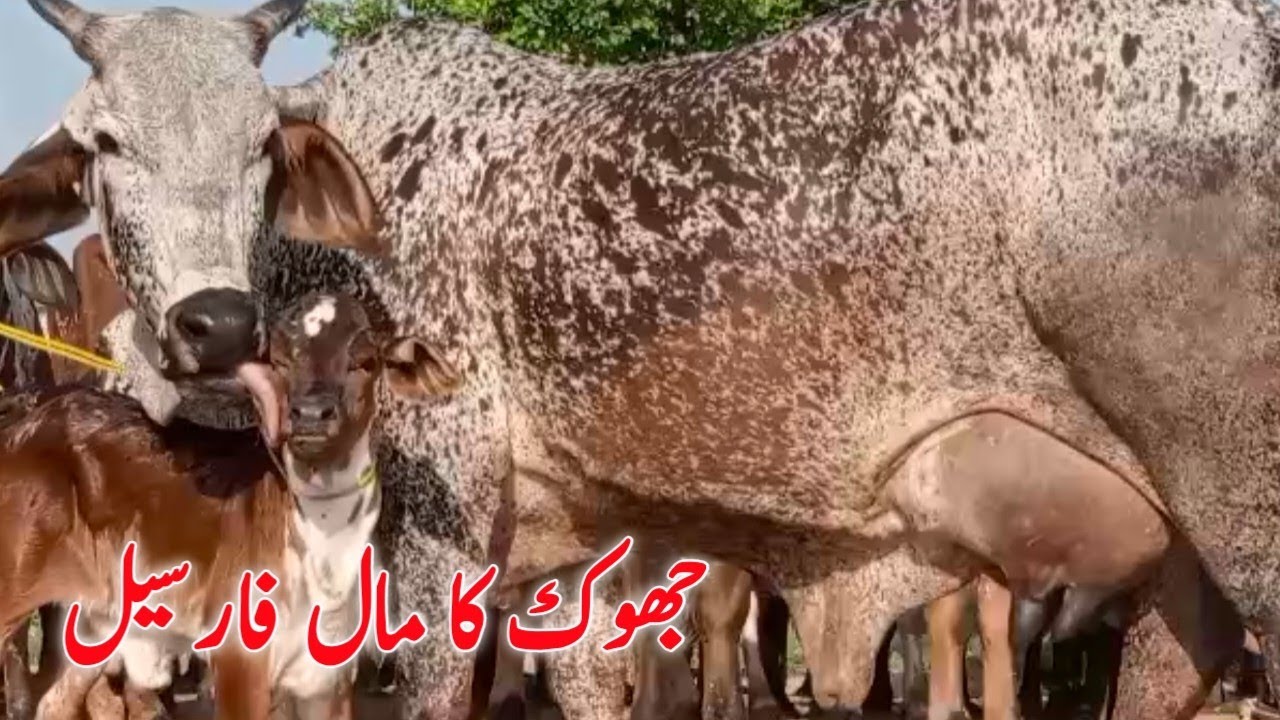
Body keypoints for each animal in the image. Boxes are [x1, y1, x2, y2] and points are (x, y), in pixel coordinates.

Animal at [4, 0, 1280, 717]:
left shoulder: (435, 499)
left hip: (1236, 495)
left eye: (263, 145)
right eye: (101, 142)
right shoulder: (568, 547)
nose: (212, 324)